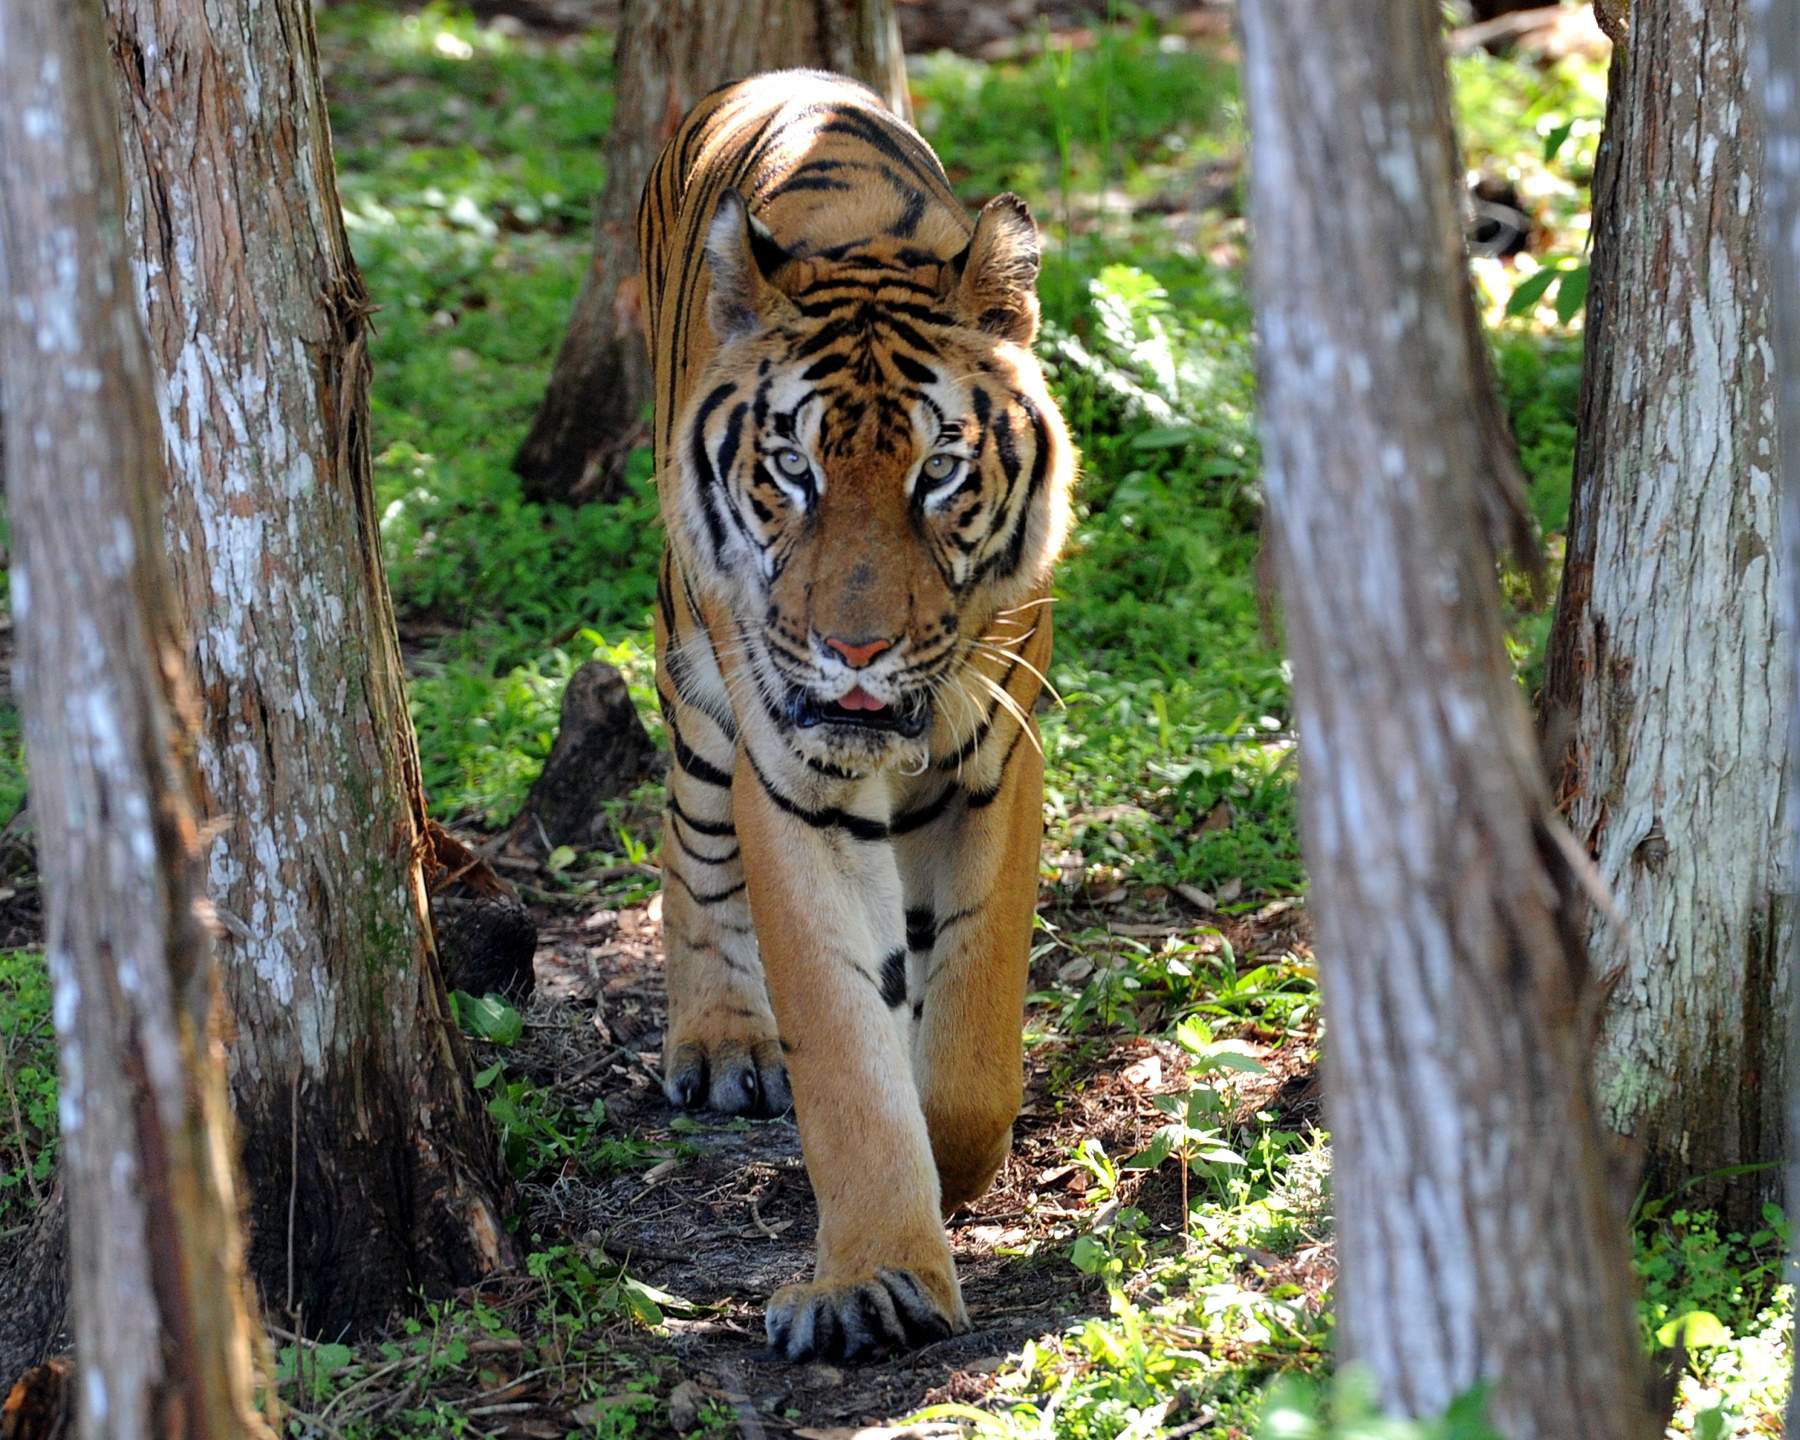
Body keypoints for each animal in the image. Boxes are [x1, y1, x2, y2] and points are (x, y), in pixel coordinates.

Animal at [636, 69, 1075, 1361]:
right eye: (792, 469)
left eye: (940, 473)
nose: (858, 650)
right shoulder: (795, 788)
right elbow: (840, 1043)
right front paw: (874, 1277)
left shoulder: (997, 758)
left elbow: (971, 1043)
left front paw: (948, 1161)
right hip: (695, 678)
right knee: (688, 844)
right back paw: (721, 1042)